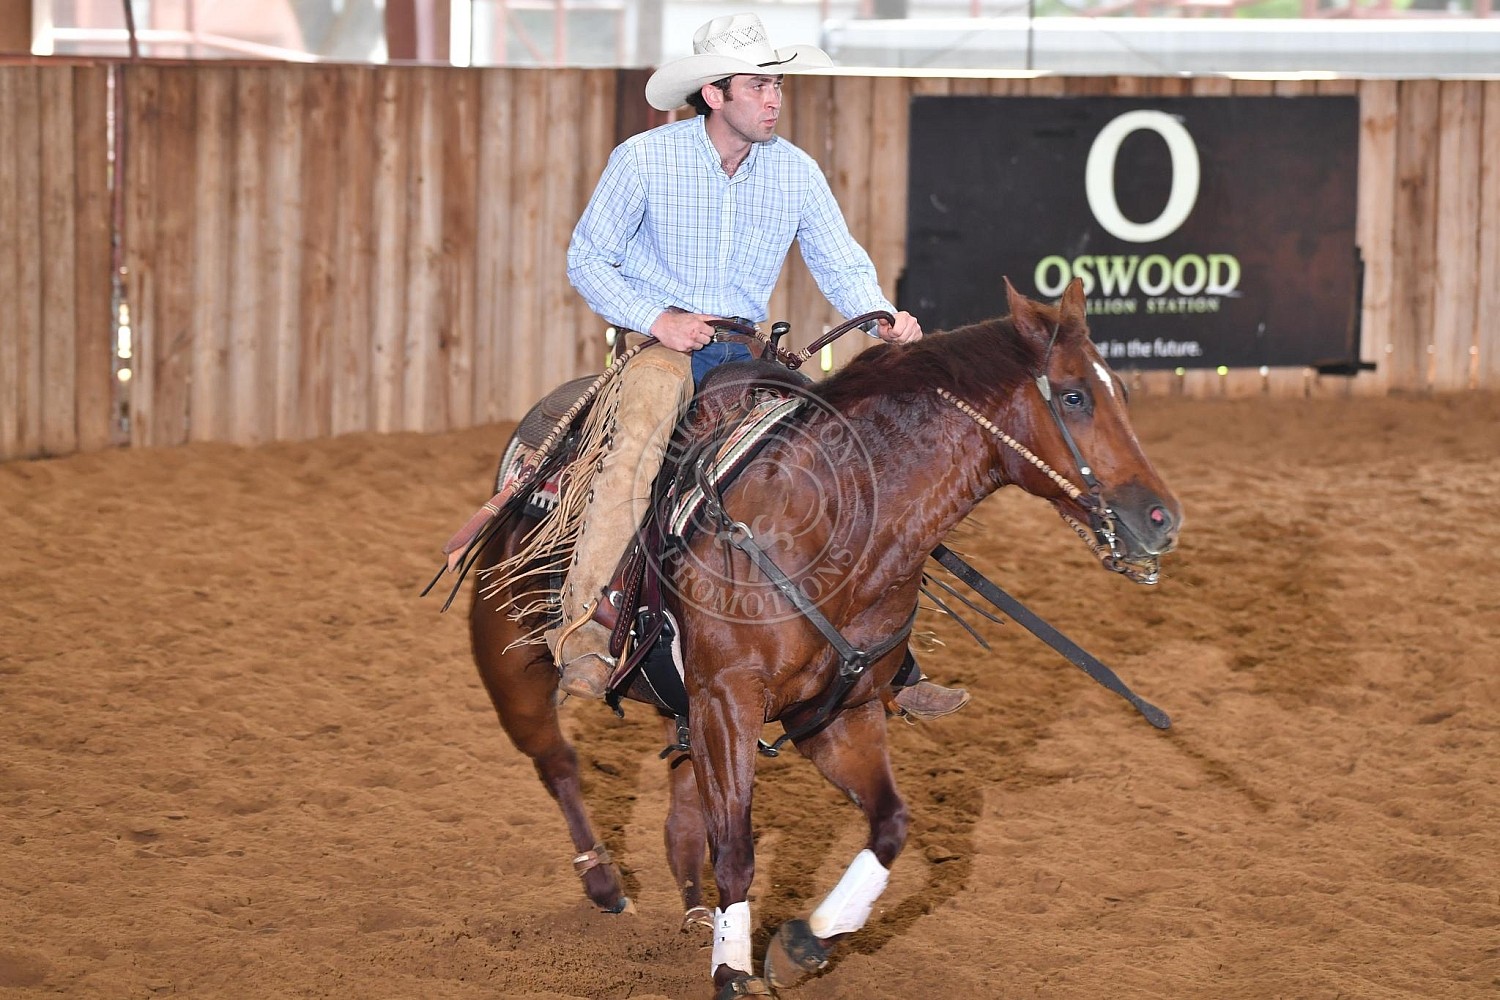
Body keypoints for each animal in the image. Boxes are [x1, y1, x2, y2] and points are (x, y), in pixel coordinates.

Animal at [460, 277, 1181, 999]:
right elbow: (738, 848)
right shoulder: (729, 702)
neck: (834, 520)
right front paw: (732, 970)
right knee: (558, 762)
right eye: (1074, 396)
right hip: (513, 664)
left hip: (685, 708)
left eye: (1119, 389)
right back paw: (606, 883)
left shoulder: (838, 715)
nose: (1162, 518)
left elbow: (890, 824)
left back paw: (692, 912)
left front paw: (801, 944)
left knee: (681, 808)